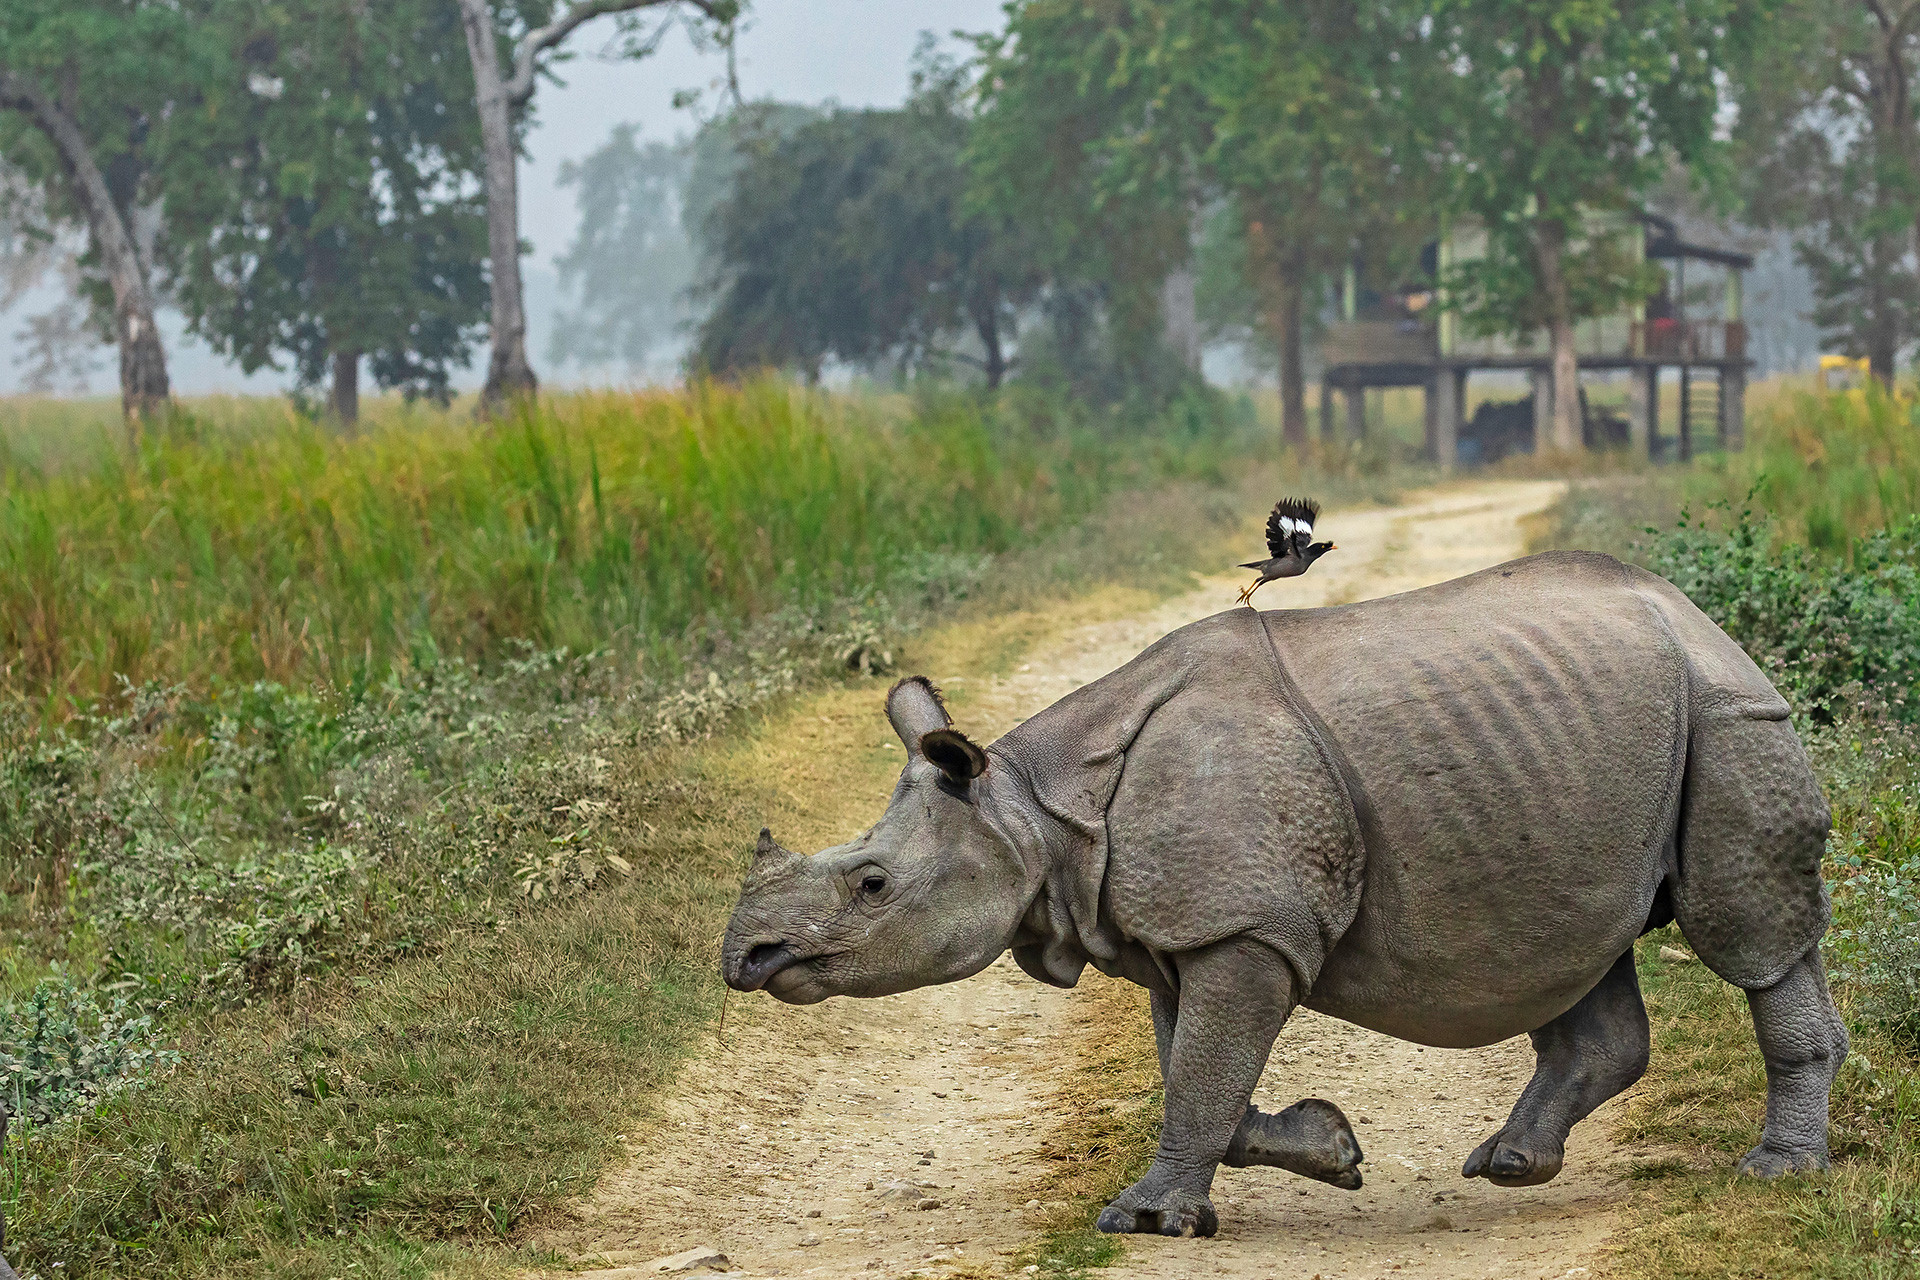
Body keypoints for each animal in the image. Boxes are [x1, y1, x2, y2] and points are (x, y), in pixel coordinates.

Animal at [722, 552, 1849, 1238]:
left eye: (873, 884)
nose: (746, 958)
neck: (1034, 807)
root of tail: (1695, 611)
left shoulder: (1241, 927)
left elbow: (1202, 1076)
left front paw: (1142, 1221)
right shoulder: (1184, 933)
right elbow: (1200, 1079)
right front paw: (1335, 1150)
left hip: (1728, 711)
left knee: (1747, 935)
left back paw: (1776, 1173)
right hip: (1598, 738)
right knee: (1574, 943)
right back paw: (1511, 1165)